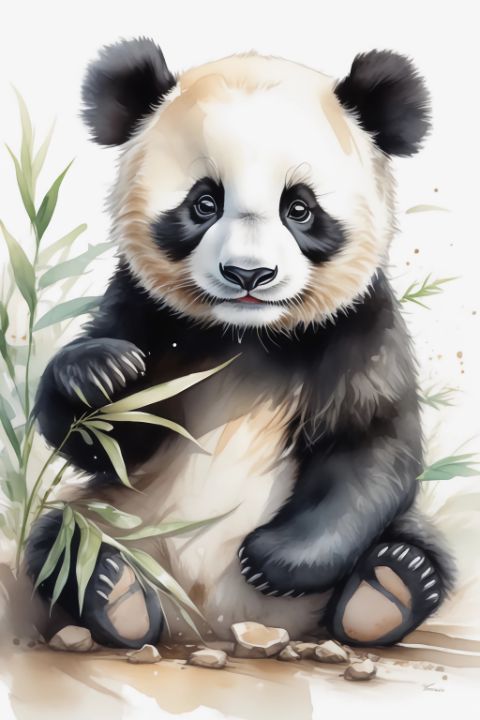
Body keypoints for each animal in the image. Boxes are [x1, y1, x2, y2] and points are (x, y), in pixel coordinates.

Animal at [27, 38, 456, 650]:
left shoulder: (359, 325)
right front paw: (99, 372)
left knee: (418, 542)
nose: (248, 274)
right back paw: (117, 593)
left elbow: (371, 442)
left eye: (299, 208)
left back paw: (387, 590)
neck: (248, 334)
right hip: (120, 516)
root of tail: (213, 622)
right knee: (61, 539)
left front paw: (273, 559)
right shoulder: (144, 310)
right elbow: (116, 442)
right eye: (204, 203)